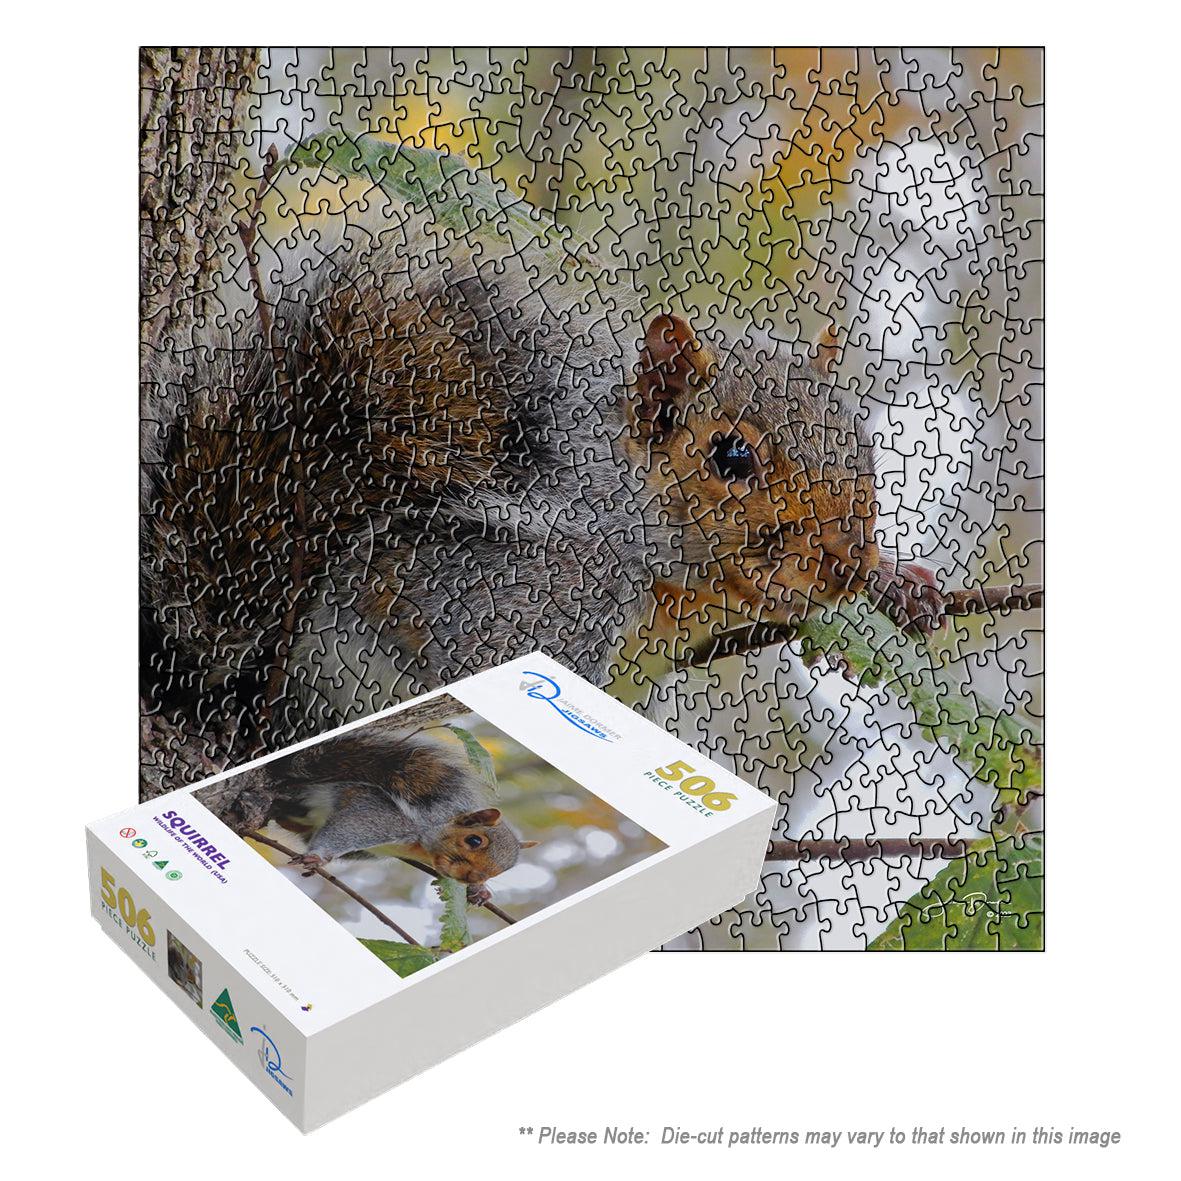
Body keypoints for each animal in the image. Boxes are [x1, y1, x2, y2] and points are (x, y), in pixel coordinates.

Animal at [235, 724, 538, 896]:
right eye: (474, 840)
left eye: (502, 871)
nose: (472, 878)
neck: (420, 846)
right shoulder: (384, 820)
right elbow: (349, 828)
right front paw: (318, 856)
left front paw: (480, 892)